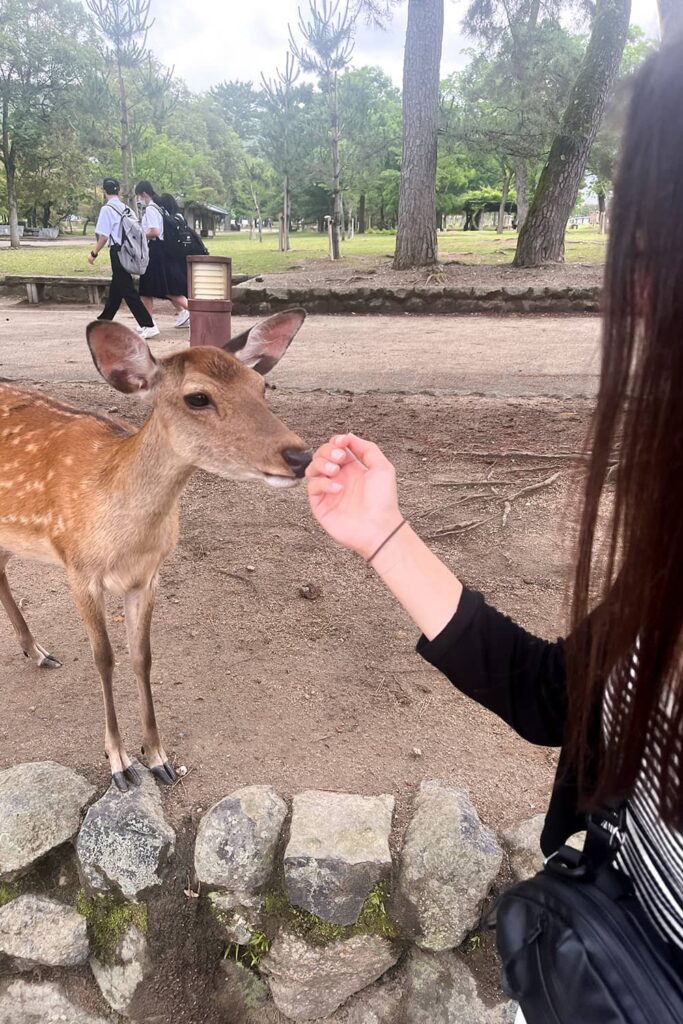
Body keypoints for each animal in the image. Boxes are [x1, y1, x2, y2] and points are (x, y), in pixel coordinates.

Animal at [0, 309, 311, 791]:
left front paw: (158, 757)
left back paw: (37, 652)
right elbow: (104, 659)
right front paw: (120, 763)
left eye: (262, 386)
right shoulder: (78, 569)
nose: (300, 456)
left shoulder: (148, 576)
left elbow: (142, 658)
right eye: (197, 398)